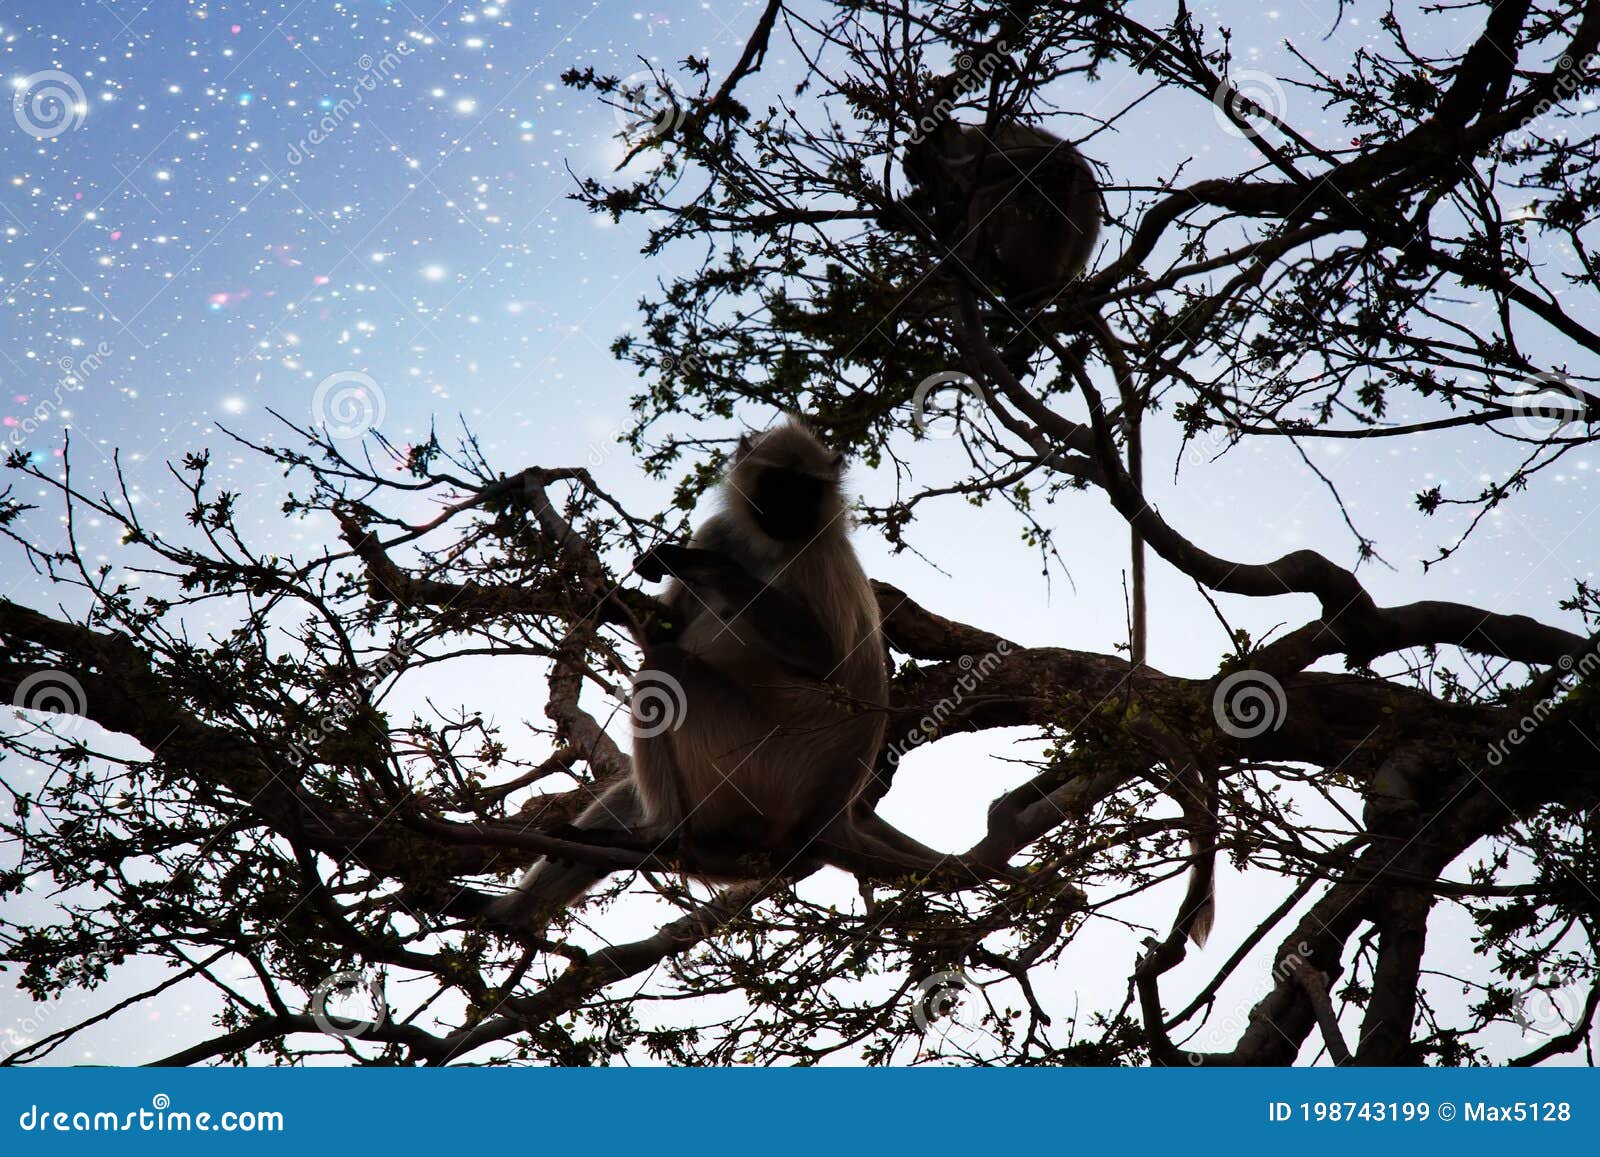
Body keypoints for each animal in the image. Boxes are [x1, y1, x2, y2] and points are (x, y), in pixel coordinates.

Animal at [489, 418, 982, 933]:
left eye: (806, 491)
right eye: (778, 484)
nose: (789, 511)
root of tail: (828, 816)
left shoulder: (817, 553)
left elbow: (827, 662)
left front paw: (693, 565)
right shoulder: (719, 531)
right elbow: (663, 628)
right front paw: (610, 602)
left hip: (768, 761)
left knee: (667, 671)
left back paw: (657, 838)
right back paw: (509, 911)